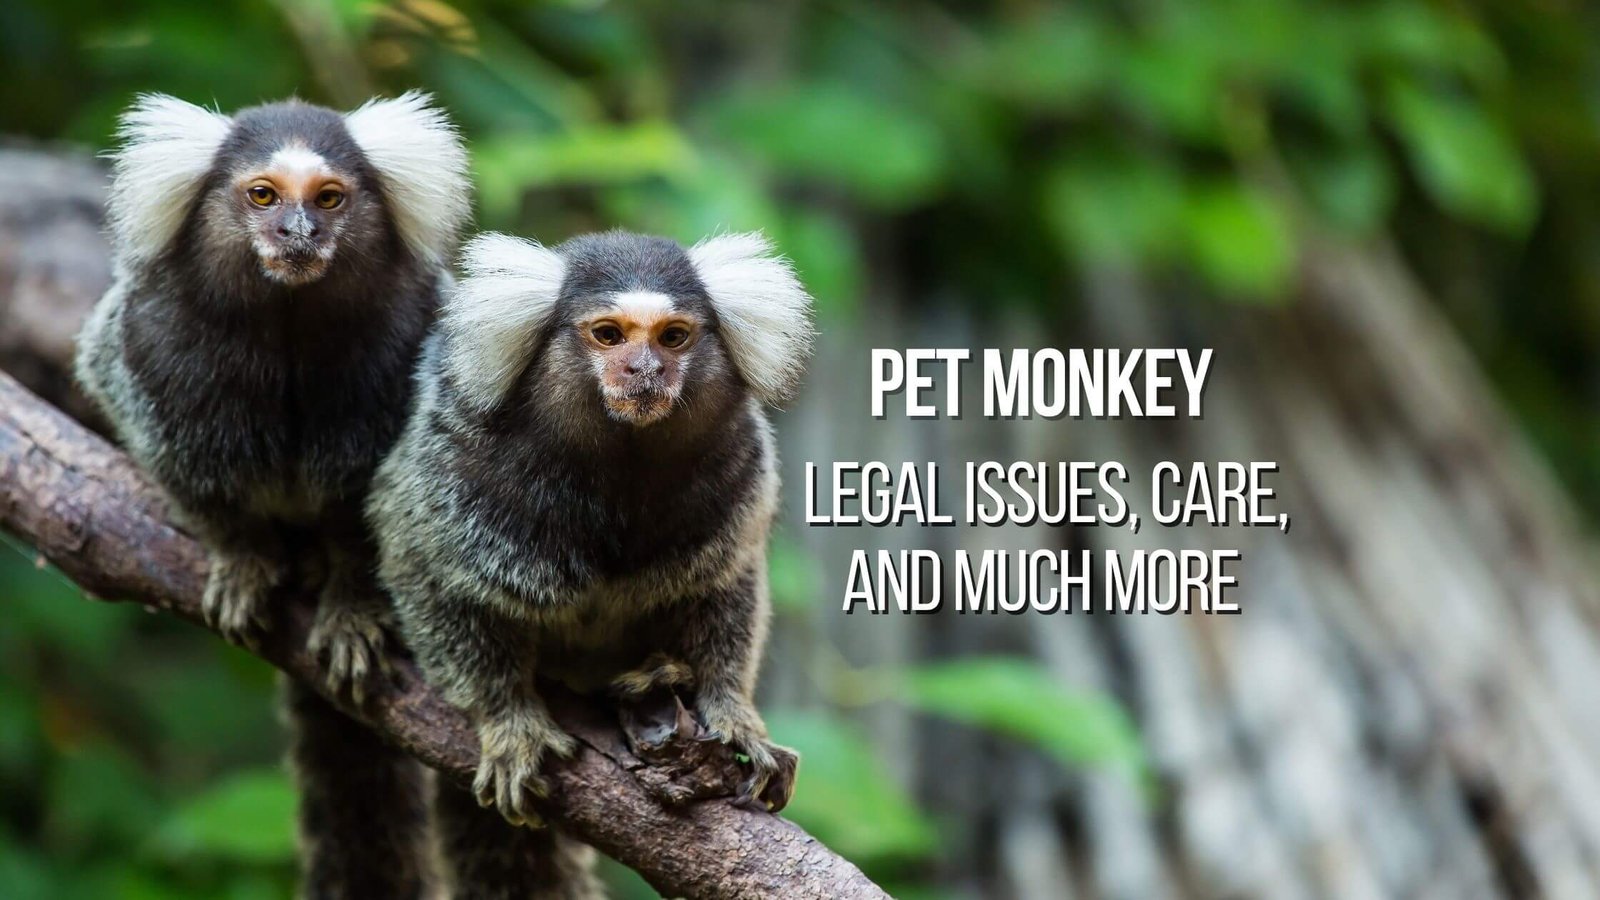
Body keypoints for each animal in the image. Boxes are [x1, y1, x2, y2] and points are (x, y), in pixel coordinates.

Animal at [75, 92, 470, 898]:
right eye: (263, 195)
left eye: (328, 198)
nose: (297, 232)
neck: (287, 326)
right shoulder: (149, 343)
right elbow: (185, 467)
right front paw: (243, 558)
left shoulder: (411, 343)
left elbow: (378, 511)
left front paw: (352, 603)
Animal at [367, 229, 810, 896]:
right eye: (608, 334)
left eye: (673, 337)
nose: (645, 370)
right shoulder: (453, 463)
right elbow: (425, 569)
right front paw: (508, 720)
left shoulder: (738, 473)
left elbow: (727, 586)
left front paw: (732, 713)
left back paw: (655, 676)